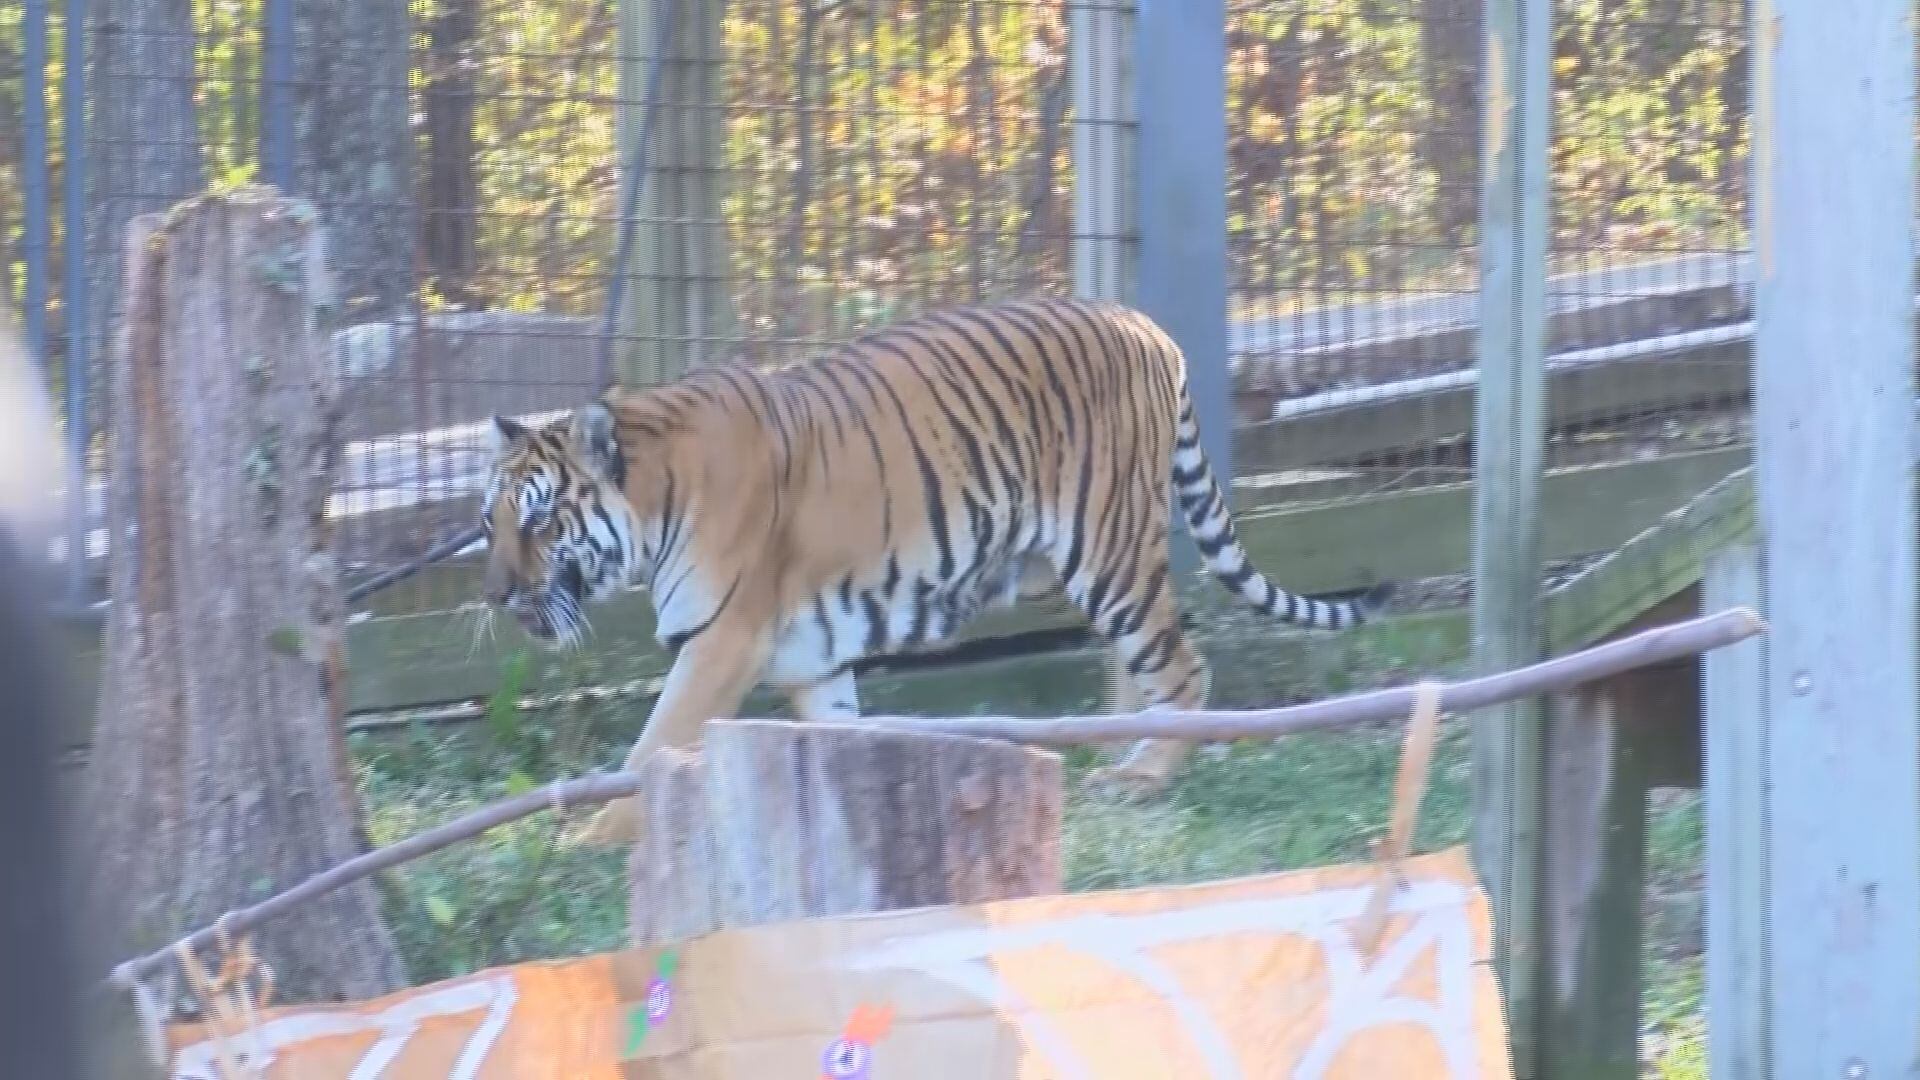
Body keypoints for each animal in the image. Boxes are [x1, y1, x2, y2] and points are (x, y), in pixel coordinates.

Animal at [479, 295, 1395, 845]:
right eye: (489, 521)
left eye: (540, 521)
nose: (496, 594)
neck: (654, 499)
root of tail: (1148, 326)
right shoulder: (810, 658)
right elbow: (833, 741)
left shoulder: (720, 642)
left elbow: (650, 749)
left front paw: (585, 836)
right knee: (1143, 664)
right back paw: (1114, 751)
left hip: (1108, 551)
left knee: (1184, 667)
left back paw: (1144, 776)